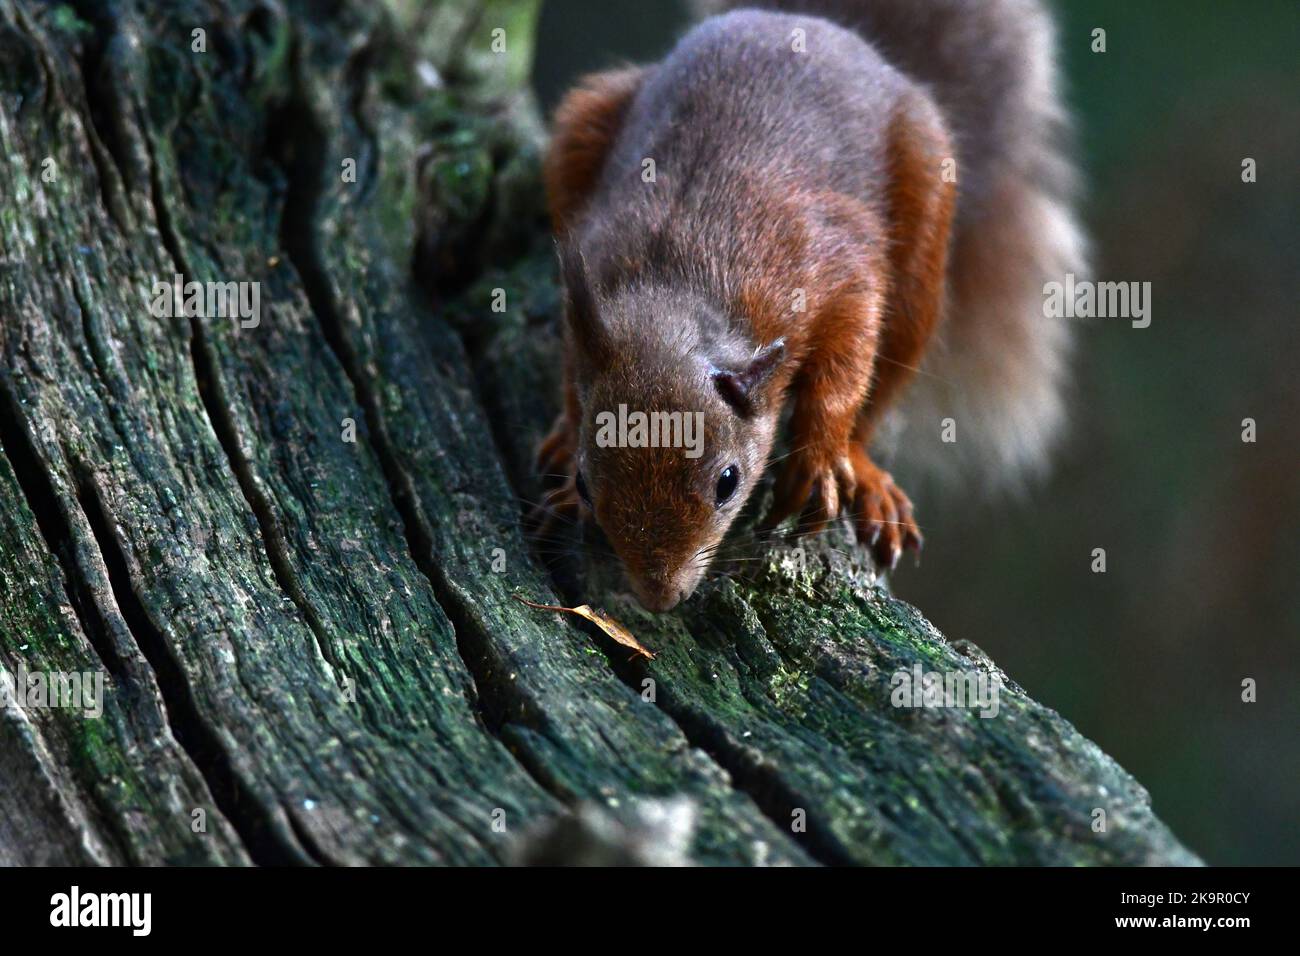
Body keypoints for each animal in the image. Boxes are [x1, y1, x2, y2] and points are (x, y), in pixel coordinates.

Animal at [531, 0, 1086, 612]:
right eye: (588, 483)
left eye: (728, 481)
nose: (661, 596)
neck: (675, 290)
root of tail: (809, 22)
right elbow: (573, 377)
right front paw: (564, 449)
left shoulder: (835, 270)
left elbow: (847, 363)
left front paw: (817, 460)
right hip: (585, 120)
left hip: (925, 206)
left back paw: (865, 475)